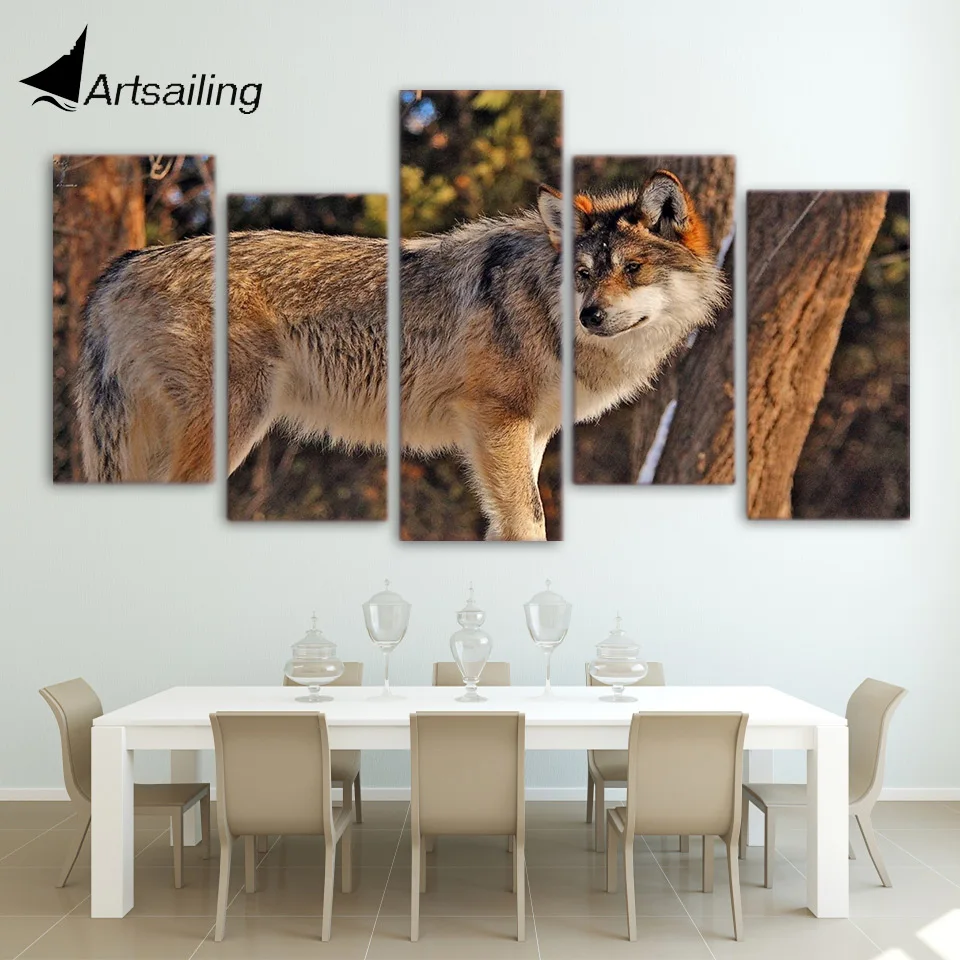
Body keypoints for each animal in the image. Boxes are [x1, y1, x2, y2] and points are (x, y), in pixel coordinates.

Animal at [77, 171, 726, 540]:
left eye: (632, 269)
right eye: (585, 274)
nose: (590, 315)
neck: (541, 307)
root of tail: (119, 268)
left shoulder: (528, 435)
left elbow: (507, 523)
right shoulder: (496, 421)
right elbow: (530, 522)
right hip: (231, 424)